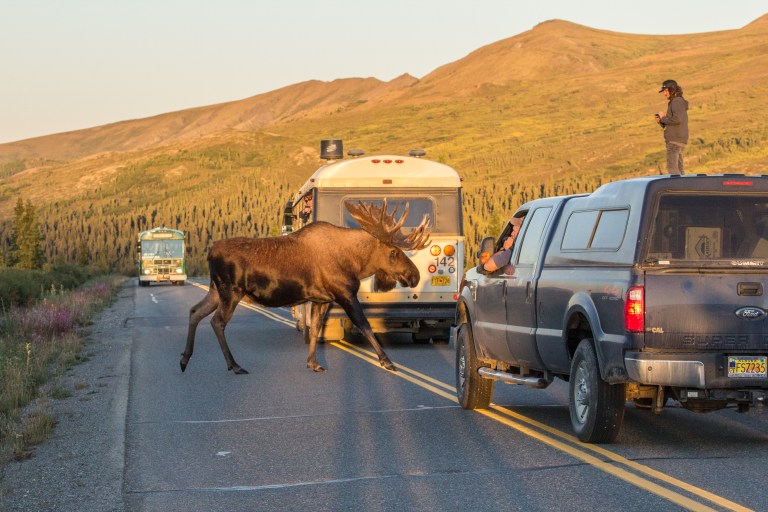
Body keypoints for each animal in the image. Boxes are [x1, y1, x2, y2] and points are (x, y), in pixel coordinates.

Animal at [181, 200, 431, 375]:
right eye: (393, 252)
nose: (414, 276)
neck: (356, 263)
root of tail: (209, 253)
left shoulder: (322, 299)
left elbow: (316, 329)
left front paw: (313, 363)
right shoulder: (345, 294)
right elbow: (365, 325)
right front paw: (387, 362)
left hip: (216, 290)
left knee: (194, 311)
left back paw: (184, 359)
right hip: (230, 291)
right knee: (217, 322)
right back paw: (234, 365)